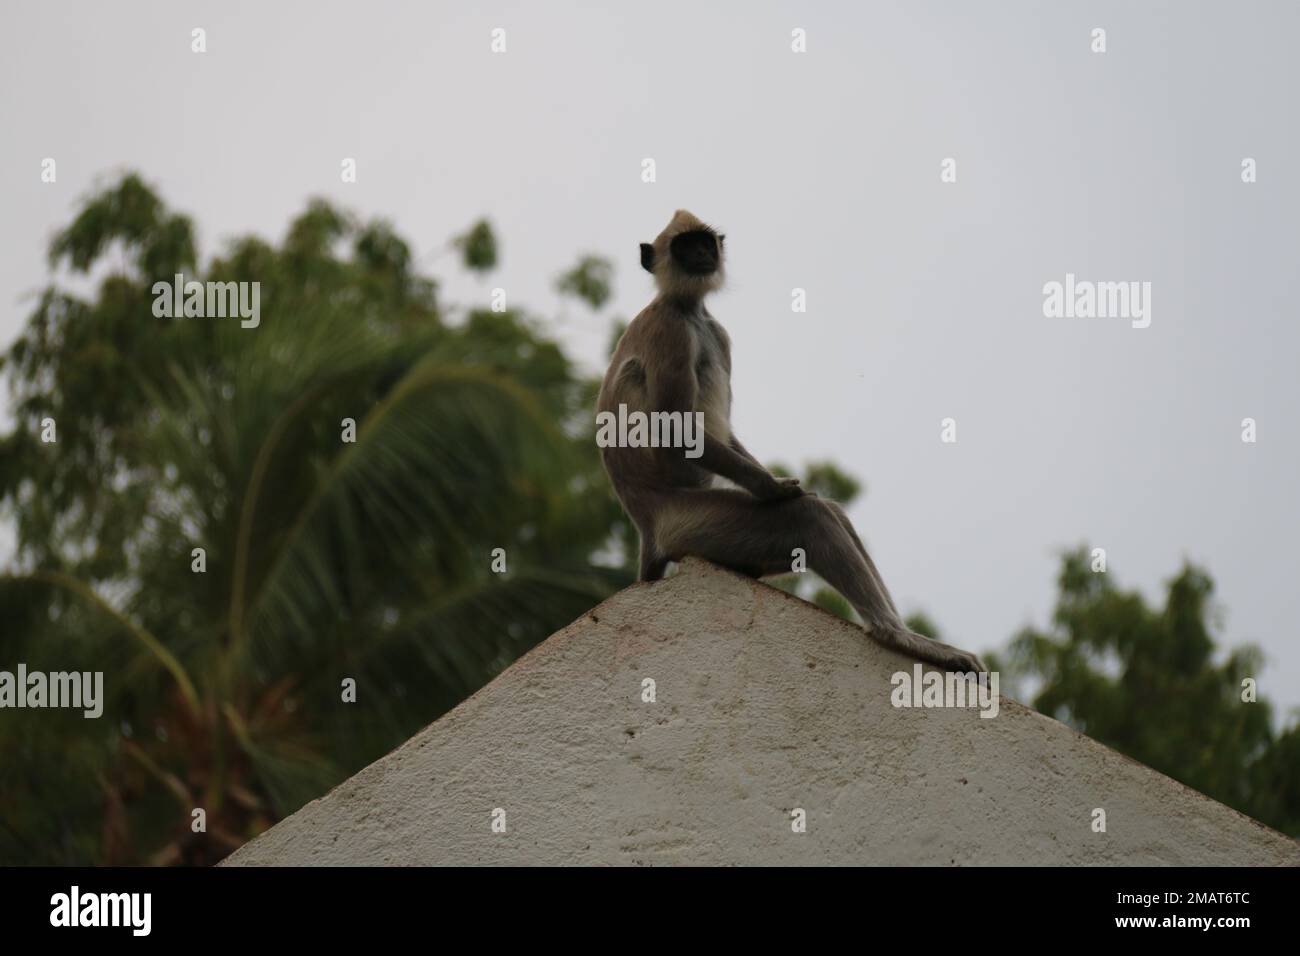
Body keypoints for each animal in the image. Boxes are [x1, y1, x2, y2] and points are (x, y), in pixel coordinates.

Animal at [596, 209, 986, 673]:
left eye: (704, 243)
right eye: (684, 246)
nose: (702, 255)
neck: (688, 309)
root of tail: (647, 526)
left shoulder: (717, 333)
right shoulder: (670, 329)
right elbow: (675, 430)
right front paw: (773, 487)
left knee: (830, 512)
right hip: (690, 522)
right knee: (808, 516)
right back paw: (895, 636)